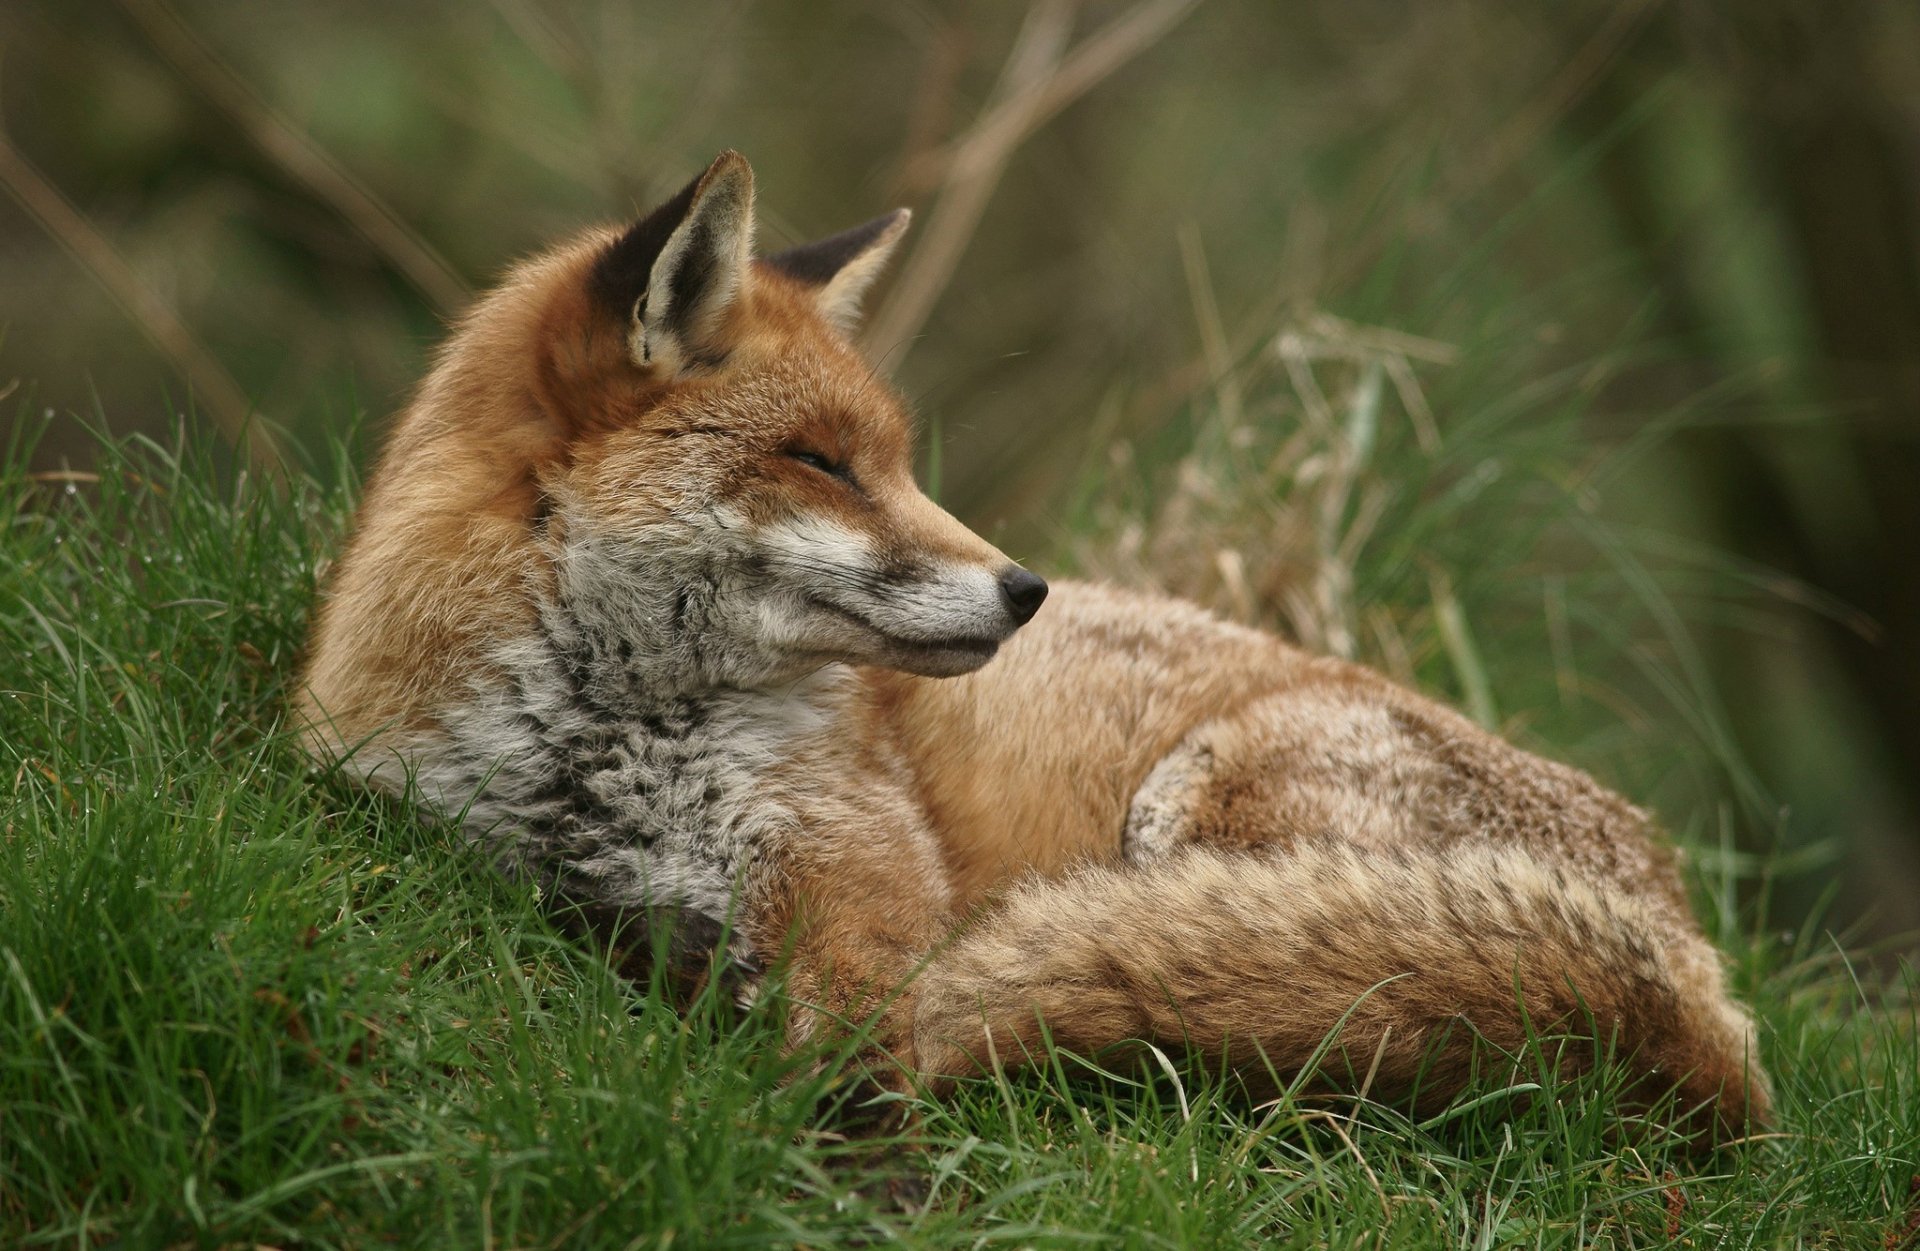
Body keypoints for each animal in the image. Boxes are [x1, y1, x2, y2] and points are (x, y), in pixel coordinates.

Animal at [298, 150, 1771, 1142]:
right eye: (821, 463)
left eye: (898, 459)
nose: (1026, 590)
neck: (596, 740)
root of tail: (1695, 966)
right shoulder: (417, 815)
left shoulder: (861, 874)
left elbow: (852, 1027)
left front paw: (834, 1117)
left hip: (1215, 800)